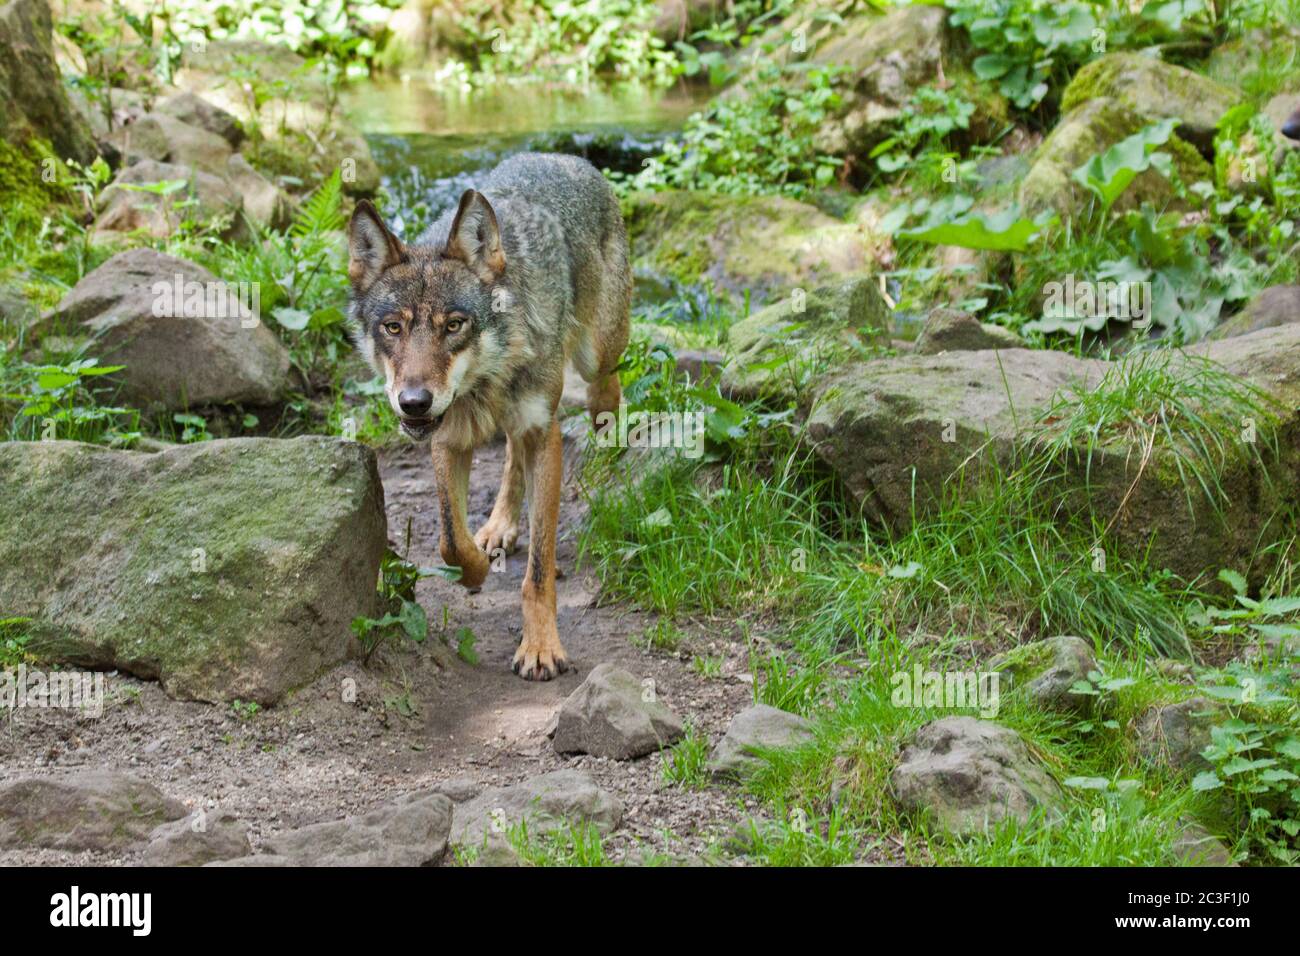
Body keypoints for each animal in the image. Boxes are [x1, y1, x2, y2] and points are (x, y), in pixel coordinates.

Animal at [347, 152, 631, 680]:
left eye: (454, 325)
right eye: (392, 328)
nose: (413, 402)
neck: (486, 381)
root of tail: (563, 157)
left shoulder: (545, 434)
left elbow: (538, 569)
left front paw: (540, 648)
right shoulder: (447, 440)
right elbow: (451, 543)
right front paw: (477, 565)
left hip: (594, 353)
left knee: (605, 385)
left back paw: (607, 429)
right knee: (510, 459)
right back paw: (499, 527)